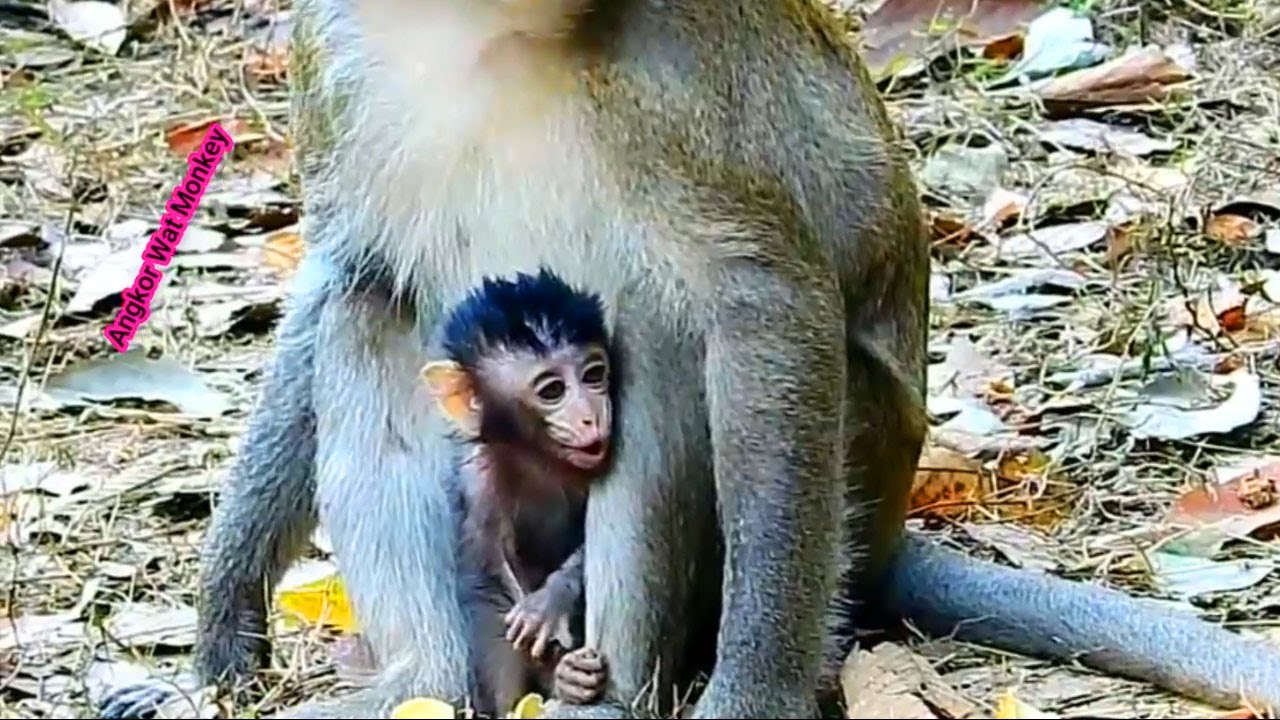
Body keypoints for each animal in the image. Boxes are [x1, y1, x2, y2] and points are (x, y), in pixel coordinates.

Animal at [420, 268, 613, 716]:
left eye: (594, 375)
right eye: (552, 391)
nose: (591, 416)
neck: (540, 458)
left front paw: (551, 600)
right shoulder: (479, 479)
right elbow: (487, 578)